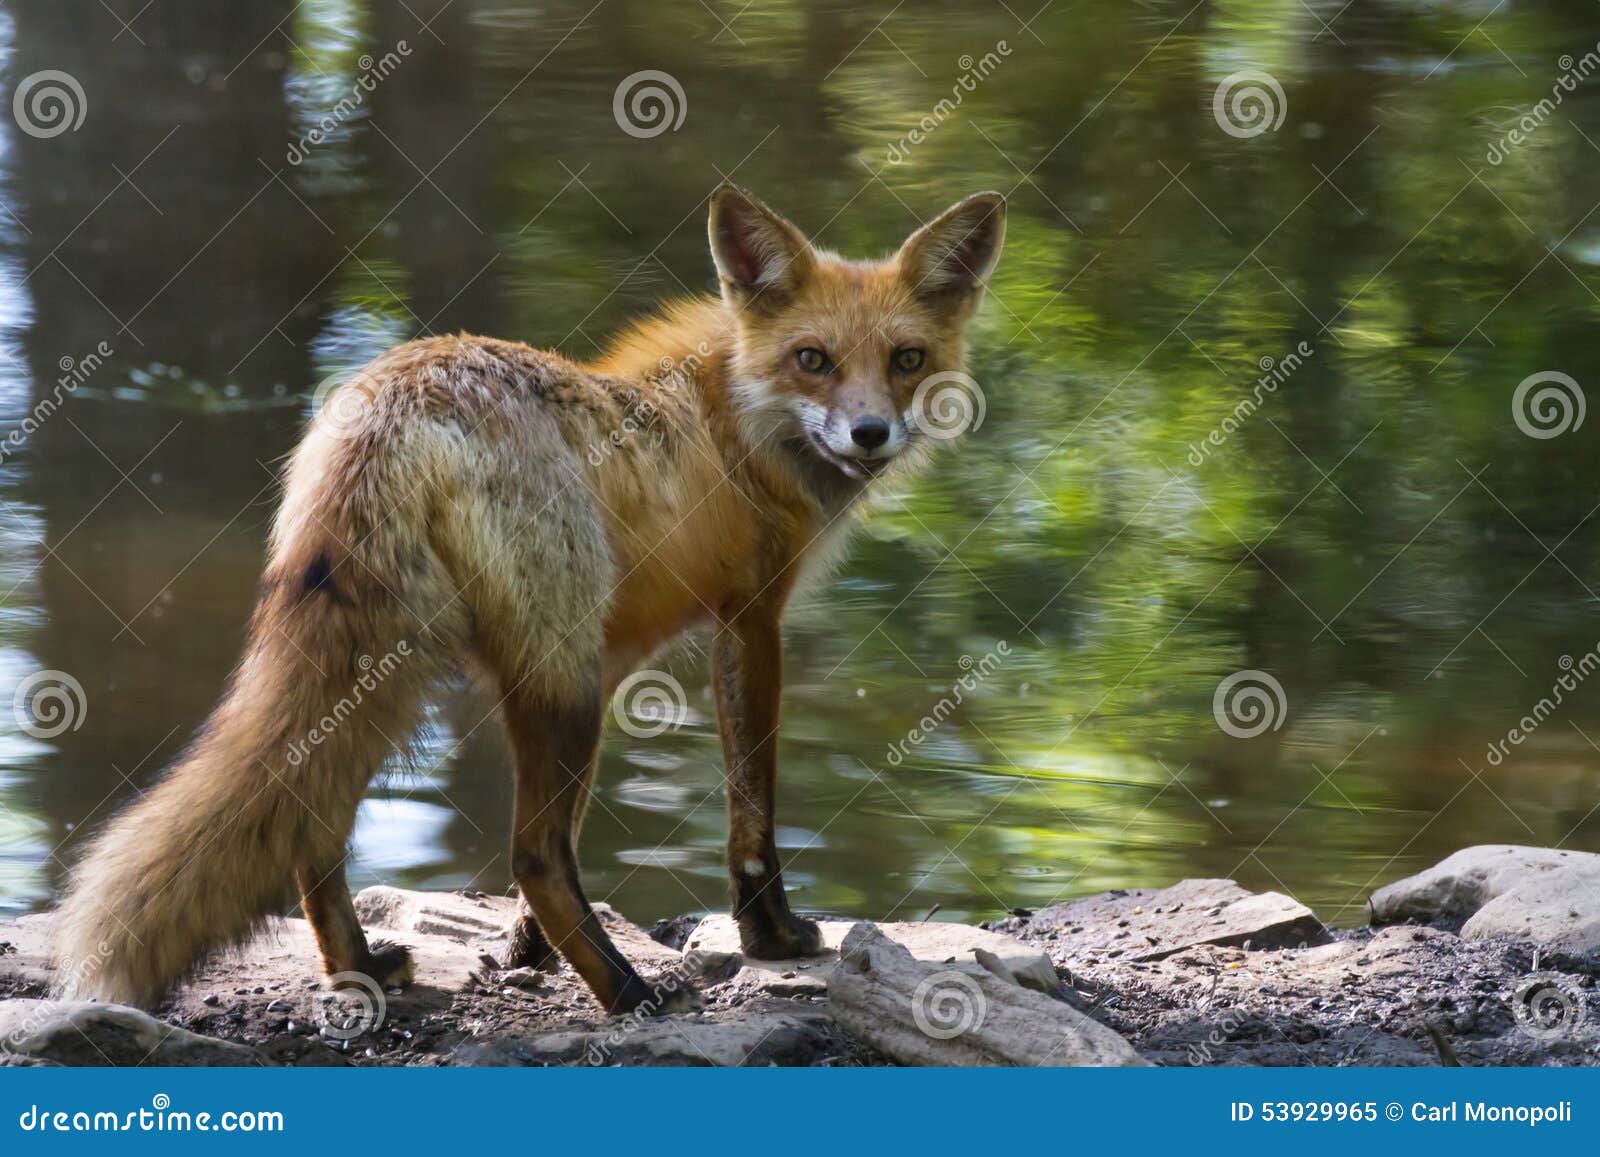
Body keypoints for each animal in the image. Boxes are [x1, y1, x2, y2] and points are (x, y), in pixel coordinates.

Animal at [53, 184, 1006, 1015]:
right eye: (813, 360)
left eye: (907, 360)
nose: (872, 434)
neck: (734, 411)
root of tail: (394, 399)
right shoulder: (749, 623)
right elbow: (749, 813)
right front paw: (769, 935)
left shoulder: (614, 652)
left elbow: (579, 829)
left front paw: (524, 953)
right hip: (553, 681)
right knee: (529, 854)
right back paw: (626, 993)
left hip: (423, 675)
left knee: (318, 832)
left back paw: (361, 965)